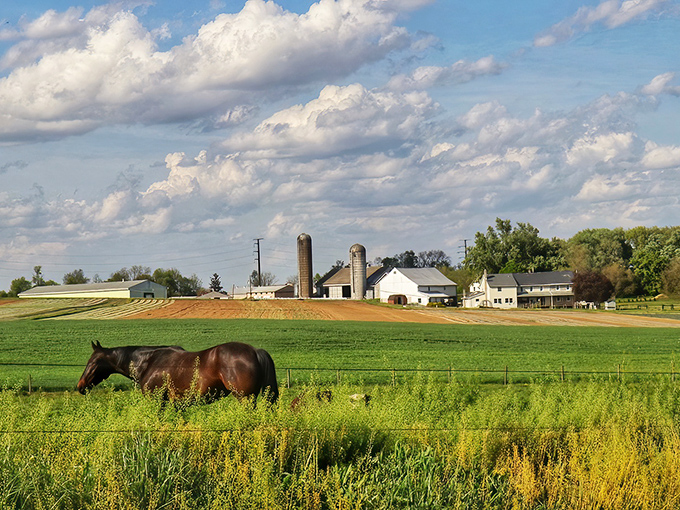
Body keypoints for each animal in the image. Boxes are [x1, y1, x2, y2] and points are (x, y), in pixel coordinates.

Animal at [77, 341, 279, 405]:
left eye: (92, 362)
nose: (80, 386)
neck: (148, 362)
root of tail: (255, 351)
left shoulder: (158, 401)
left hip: (245, 399)